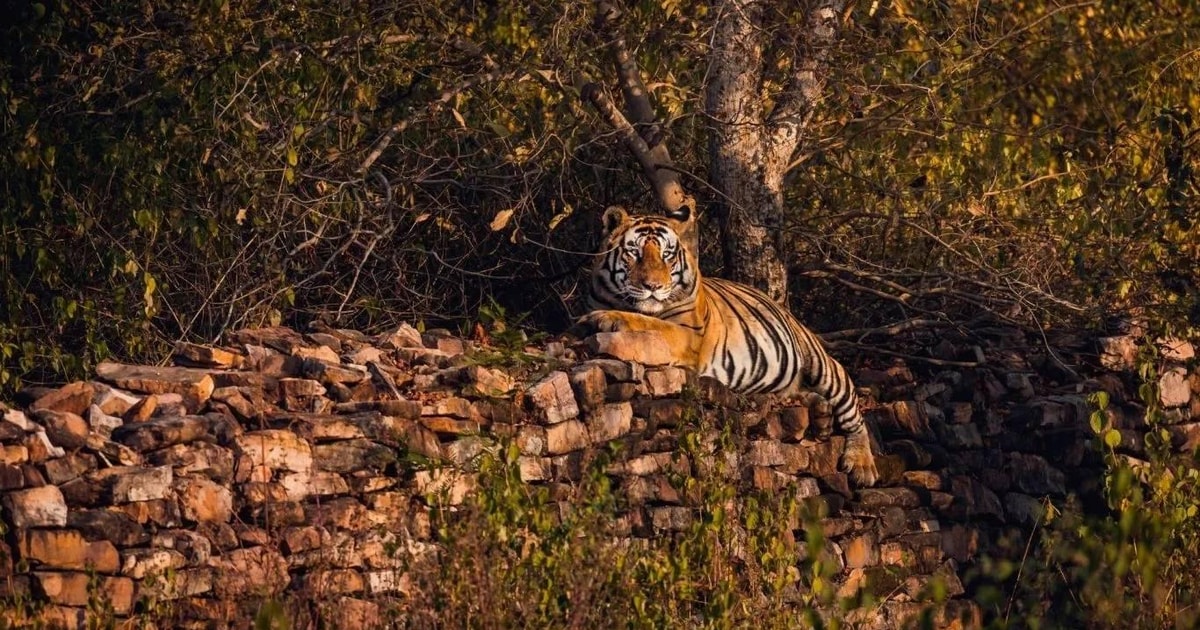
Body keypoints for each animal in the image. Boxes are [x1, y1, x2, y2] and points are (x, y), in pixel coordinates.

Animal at [575, 205, 878, 487]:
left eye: (667, 255)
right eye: (634, 253)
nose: (653, 286)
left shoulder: (687, 335)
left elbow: (647, 322)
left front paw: (606, 318)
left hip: (822, 365)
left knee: (853, 412)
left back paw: (862, 466)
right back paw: (822, 416)